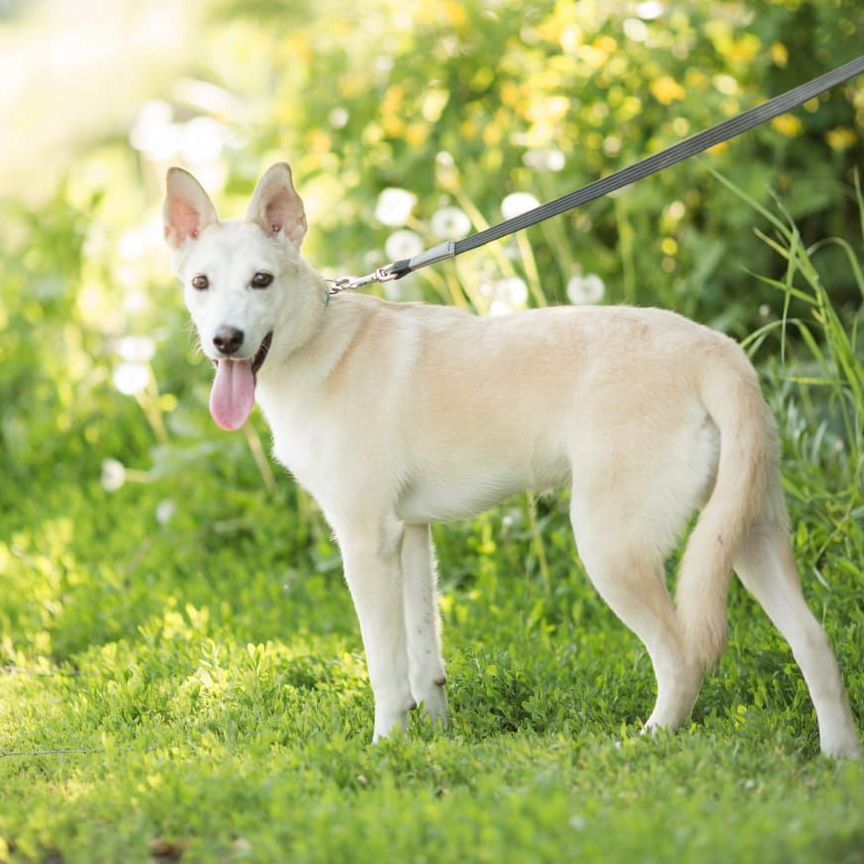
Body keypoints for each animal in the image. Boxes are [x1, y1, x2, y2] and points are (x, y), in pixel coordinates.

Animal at [162, 162, 856, 756]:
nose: (226, 340)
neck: (320, 343)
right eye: (200, 284)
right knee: (813, 639)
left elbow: (386, 667)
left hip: (613, 547)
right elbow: (424, 660)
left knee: (684, 656)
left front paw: (387, 748)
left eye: (262, 281)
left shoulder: (366, 541)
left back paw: (647, 741)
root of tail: (716, 351)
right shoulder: (410, 535)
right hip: (746, 532)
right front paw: (437, 738)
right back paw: (839, 754)